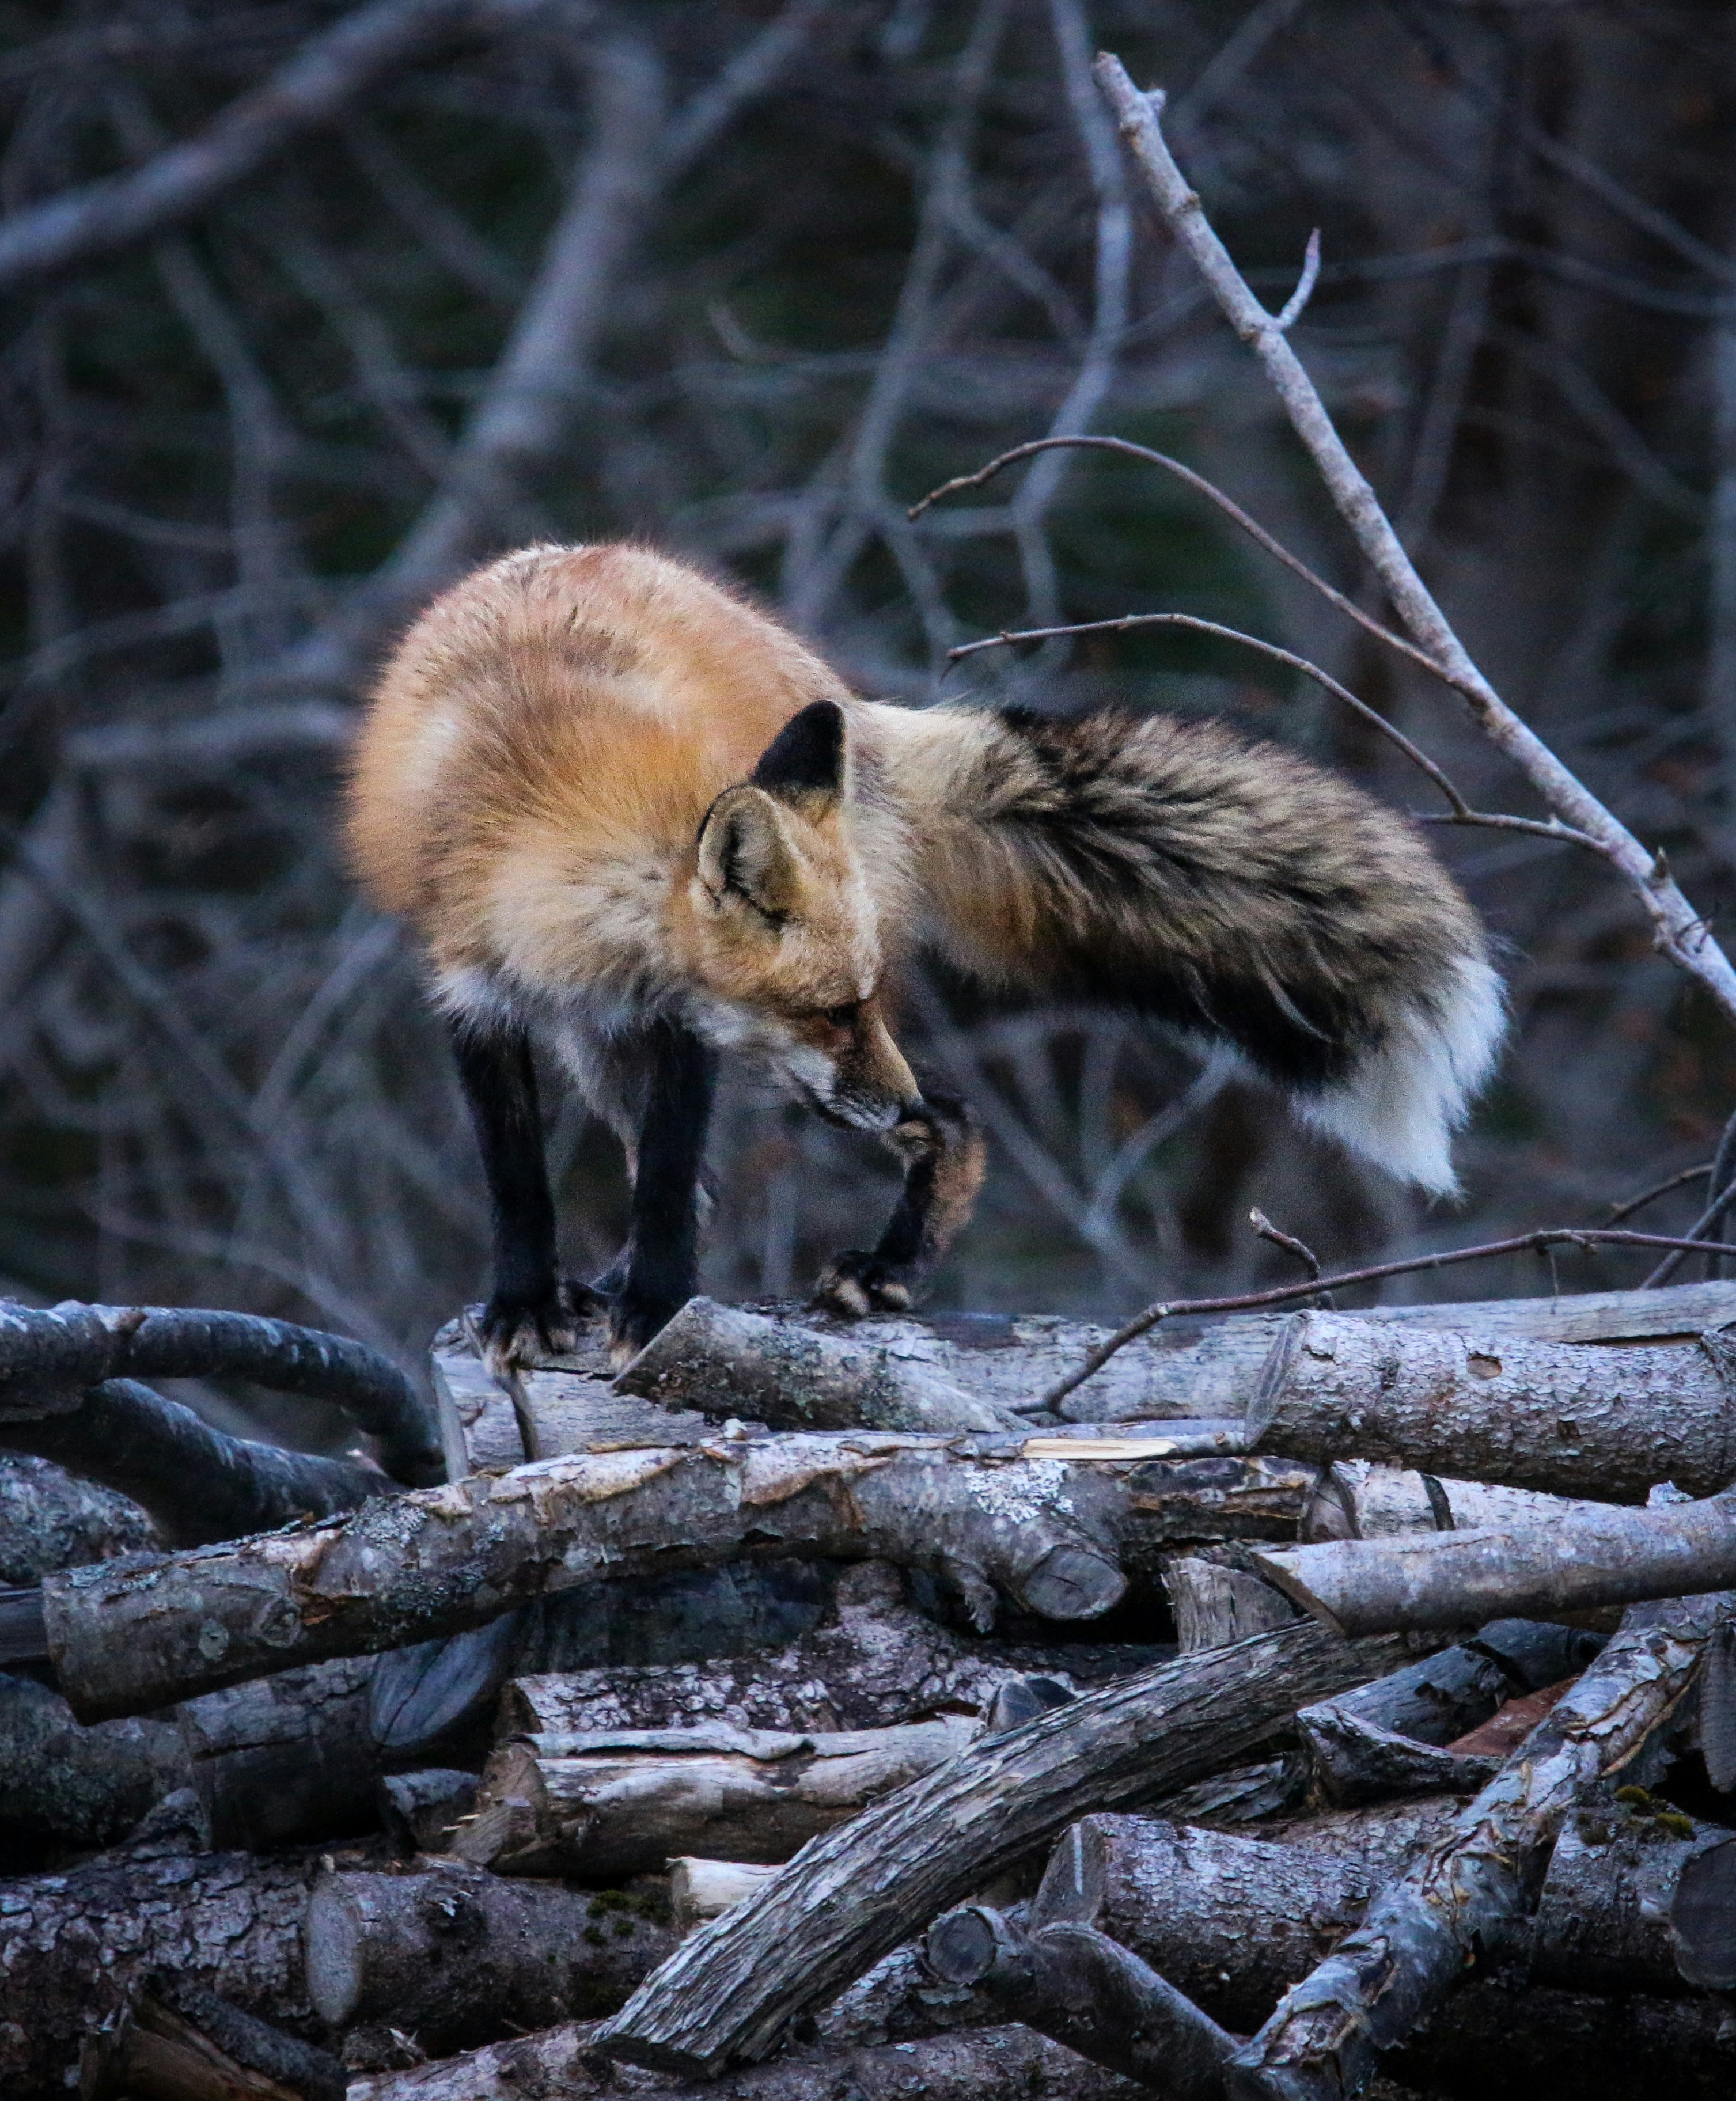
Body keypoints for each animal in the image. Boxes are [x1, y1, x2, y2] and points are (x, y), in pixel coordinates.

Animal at [347, 541, 1505, 1372]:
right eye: (826, 1008)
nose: (891, 1093)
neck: (541, 790)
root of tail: (851, 705)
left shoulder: (683, 1027)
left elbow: (670, 1177)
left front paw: (661, 1309)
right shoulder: (477, 993)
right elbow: (519, 1179)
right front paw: (526, 1303)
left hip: (793, 1075)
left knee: (954, 1118)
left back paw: (887, 1261)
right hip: (641, 1053)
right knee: (723, 1170)